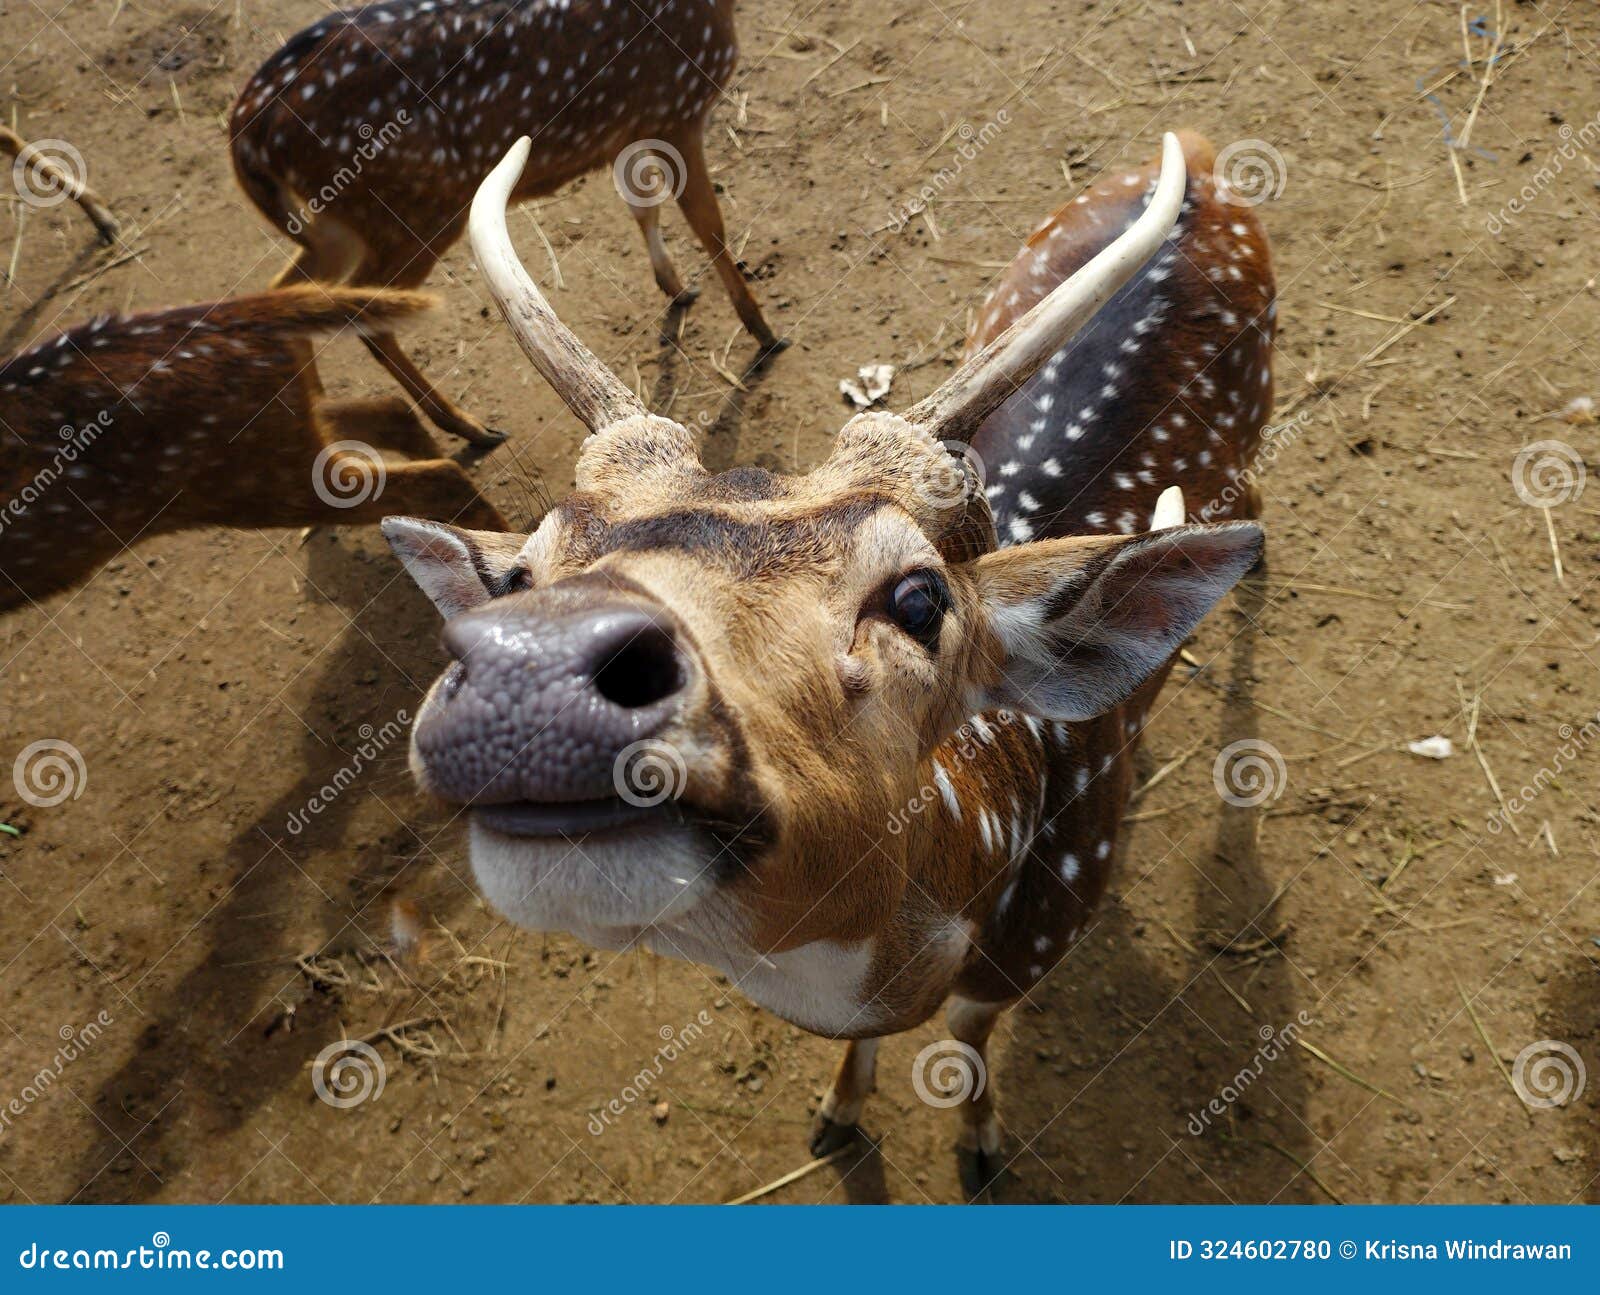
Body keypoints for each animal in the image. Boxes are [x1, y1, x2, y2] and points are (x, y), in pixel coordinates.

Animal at [229, 0, 782, 449]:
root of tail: (247, 128)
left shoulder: (631, 126)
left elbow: (642, 204)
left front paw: (677, 287)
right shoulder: (677, 107)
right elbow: (710, 225)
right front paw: (764, 333)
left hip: (338, 219)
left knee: (290, 290)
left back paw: (322, 418)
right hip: (417, 208)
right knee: (363, 311)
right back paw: (469, 427)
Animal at [381, 127, 1274, 1186]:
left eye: (921, 597)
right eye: (522, 573)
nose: (536, 668)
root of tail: (1209, 163)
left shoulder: (1042, 935)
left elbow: (971, 1035)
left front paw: (981, 1145)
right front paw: (839, 1110)